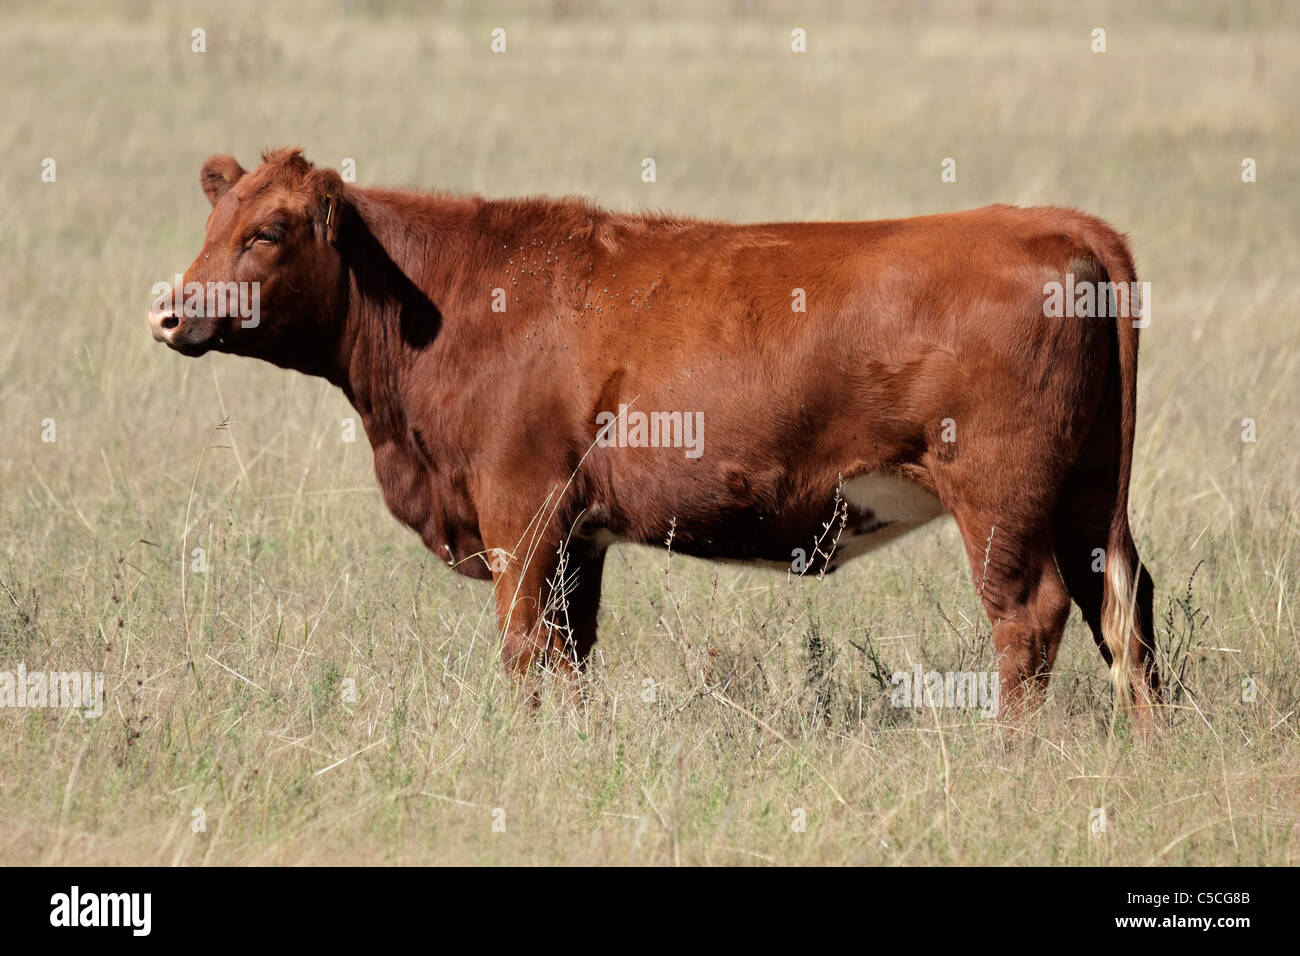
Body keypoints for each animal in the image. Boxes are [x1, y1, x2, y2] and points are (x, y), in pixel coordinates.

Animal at [149, 148, 1159, 720]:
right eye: (214, 219)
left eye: (270, 230)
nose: (173, 310)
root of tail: (1058, 224)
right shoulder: (577, 537)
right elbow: (571, 652)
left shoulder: (522, 511)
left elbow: (526, 647)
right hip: (1086, 496)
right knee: (1125, 605)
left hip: (1001, 498)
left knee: (1029, 617)